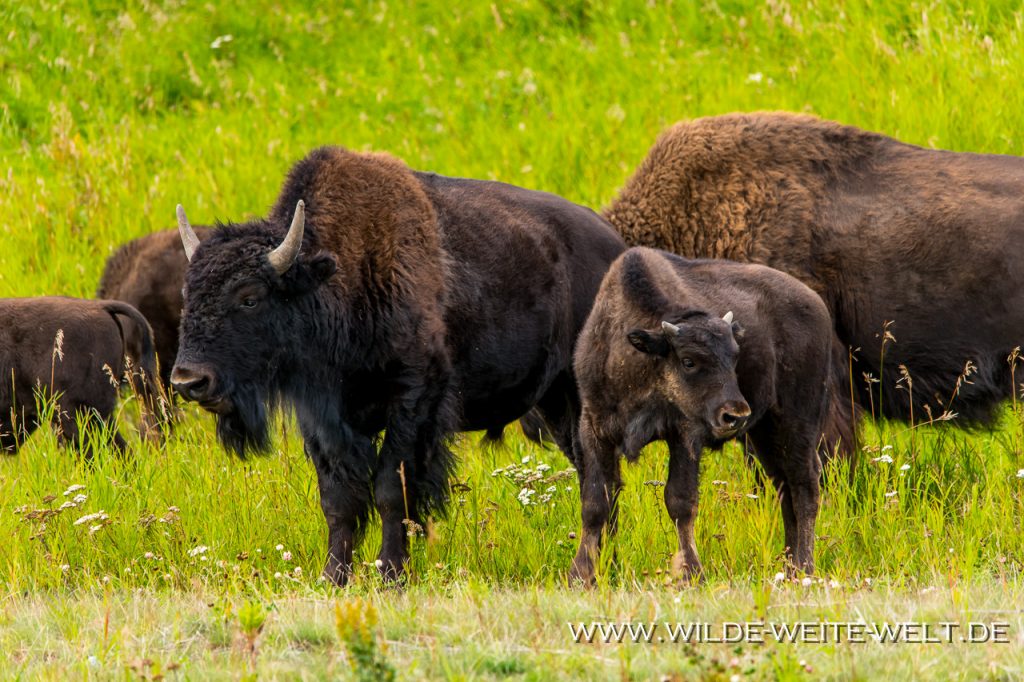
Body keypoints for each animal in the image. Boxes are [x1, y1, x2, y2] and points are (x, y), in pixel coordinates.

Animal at [171, 147, 625, 584]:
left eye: (249, 297)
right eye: (187, 293)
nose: (189, 380)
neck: (343, 276)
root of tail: (616, 249)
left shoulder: (413, 401)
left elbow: (392, 489)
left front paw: (391, 573)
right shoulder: (324, 420)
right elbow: (338, 500)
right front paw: (332, 577)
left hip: (580, 394)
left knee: (598, 481)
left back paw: (584, 573)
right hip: (555, 403)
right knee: (597, 476)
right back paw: (606, 568)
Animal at [570, 247, 832, 583]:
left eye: (735, 357)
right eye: (688, 361)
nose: (735, 415)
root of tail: (817, 305)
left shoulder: (685, 435)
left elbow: (680, 501)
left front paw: (690, 573)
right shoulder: (593, 428)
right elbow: (594, 503)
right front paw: (581, 575)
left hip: (796, 423)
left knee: (805, 485)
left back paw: (804, 568)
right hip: (765, 434)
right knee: (785, 487)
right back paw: (788, 568)